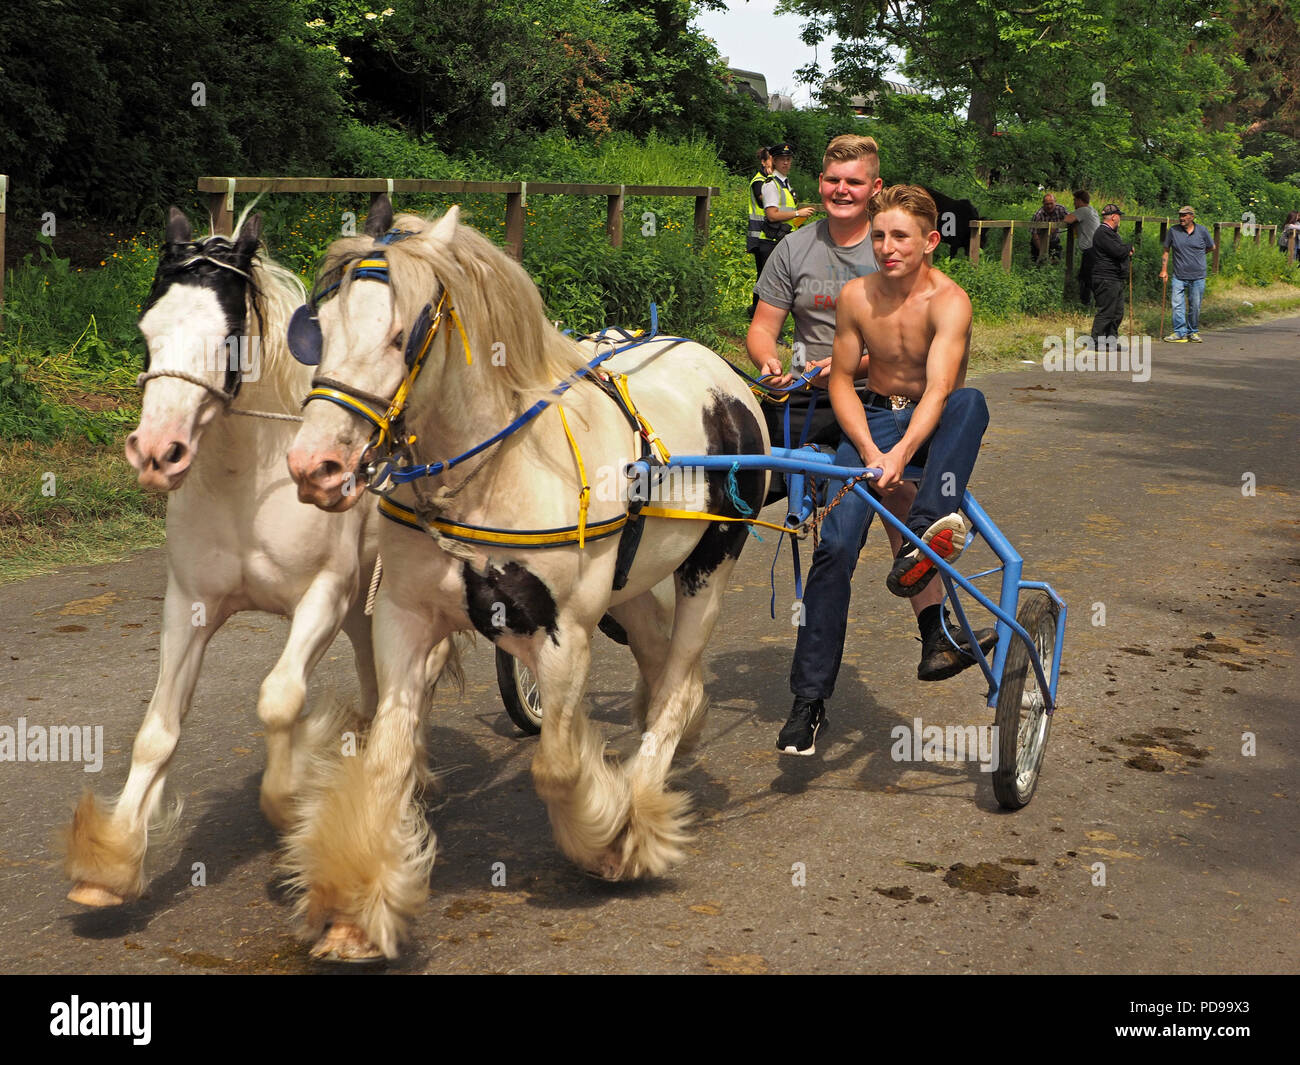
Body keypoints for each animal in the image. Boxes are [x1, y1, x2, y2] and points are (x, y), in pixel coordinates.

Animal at [63, 206, 383, 908]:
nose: (157, 453)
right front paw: (111, 860)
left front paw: (295, 800)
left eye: (229, 335)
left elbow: (280, 701)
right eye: (147, 330)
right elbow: (157, 731)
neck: (251, 480)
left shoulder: (322, 596)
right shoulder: (190, 605)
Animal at [283, 196, 769, 960]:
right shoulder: (405, 618)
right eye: (321, 331)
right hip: (633, 586)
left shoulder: (562, 631)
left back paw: (644, 798)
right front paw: (353, 905)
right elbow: (388, 757)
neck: (496, 472)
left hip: (708, 569)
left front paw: (613, 834)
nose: (315, 468)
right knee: (662, 661)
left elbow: (557, 765)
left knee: (677, 686)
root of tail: (719, 370)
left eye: (400, 336)